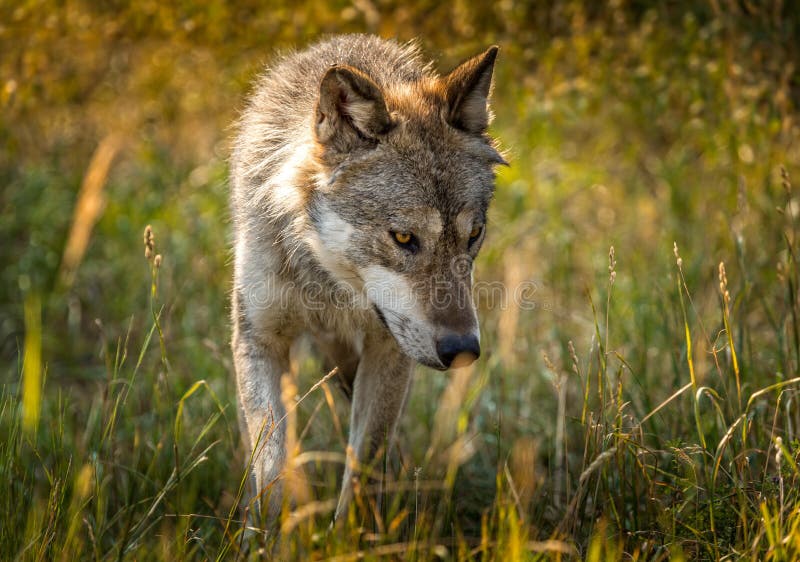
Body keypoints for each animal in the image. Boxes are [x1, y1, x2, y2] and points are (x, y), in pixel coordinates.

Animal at [230, 34, 504, 527]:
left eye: (473, 235)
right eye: (404, 237)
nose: (462, 351)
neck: (330, 283)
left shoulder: (390, 348)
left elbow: (364, 466)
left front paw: (347, 536)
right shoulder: (257, 340)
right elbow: (271, 467)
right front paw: (262, 536)